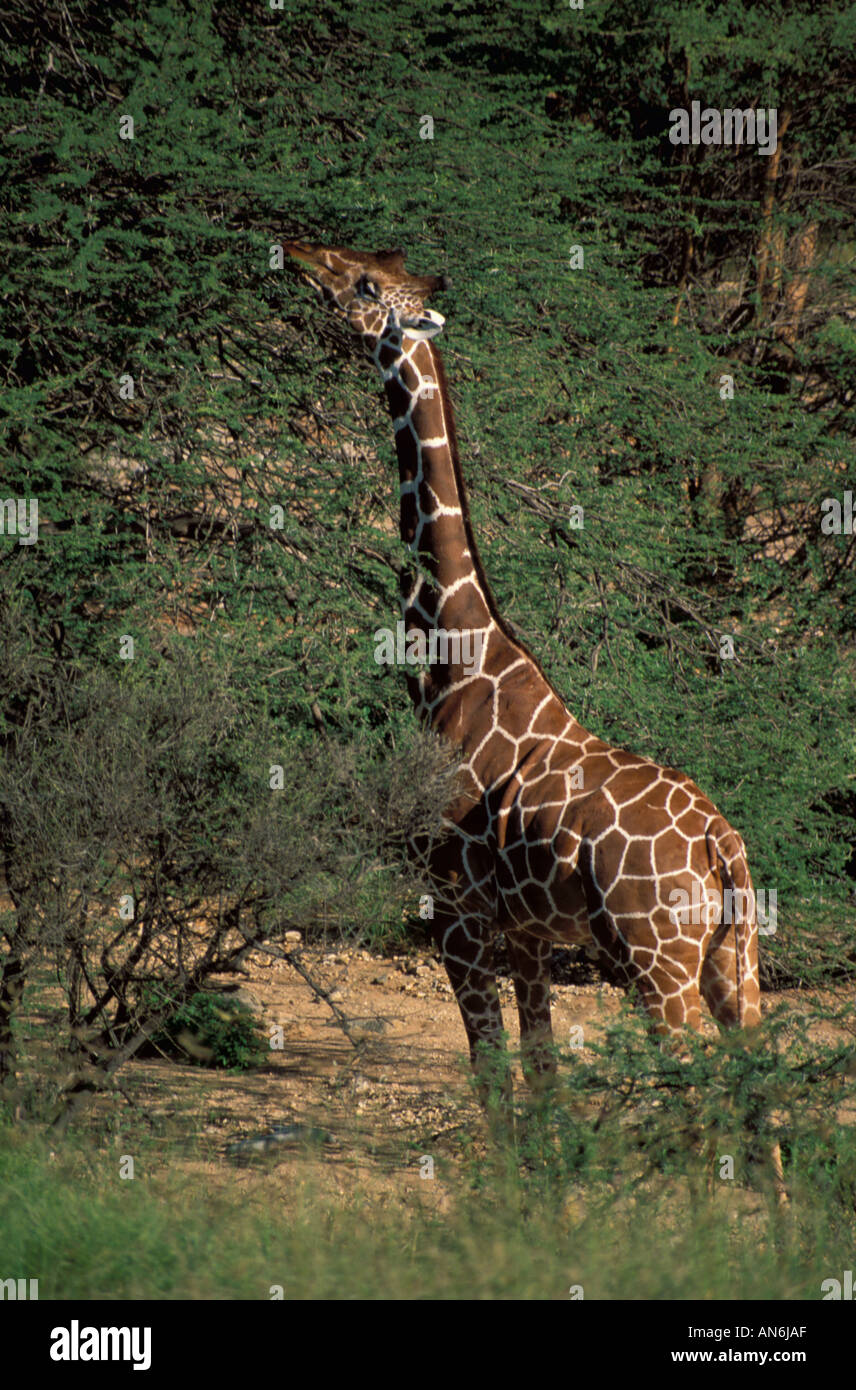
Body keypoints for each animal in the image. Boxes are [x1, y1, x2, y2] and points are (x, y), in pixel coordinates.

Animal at [283, 240, 784, 1194]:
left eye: (365, 282)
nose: (295, 257)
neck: (455, 663)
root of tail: (723, 845)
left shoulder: (454, 914)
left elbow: (492, 1078)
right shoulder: (527, 935)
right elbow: (543, 1080)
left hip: (657, 960)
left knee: (699, 1093)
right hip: (731, 959)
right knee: (761, 1092)